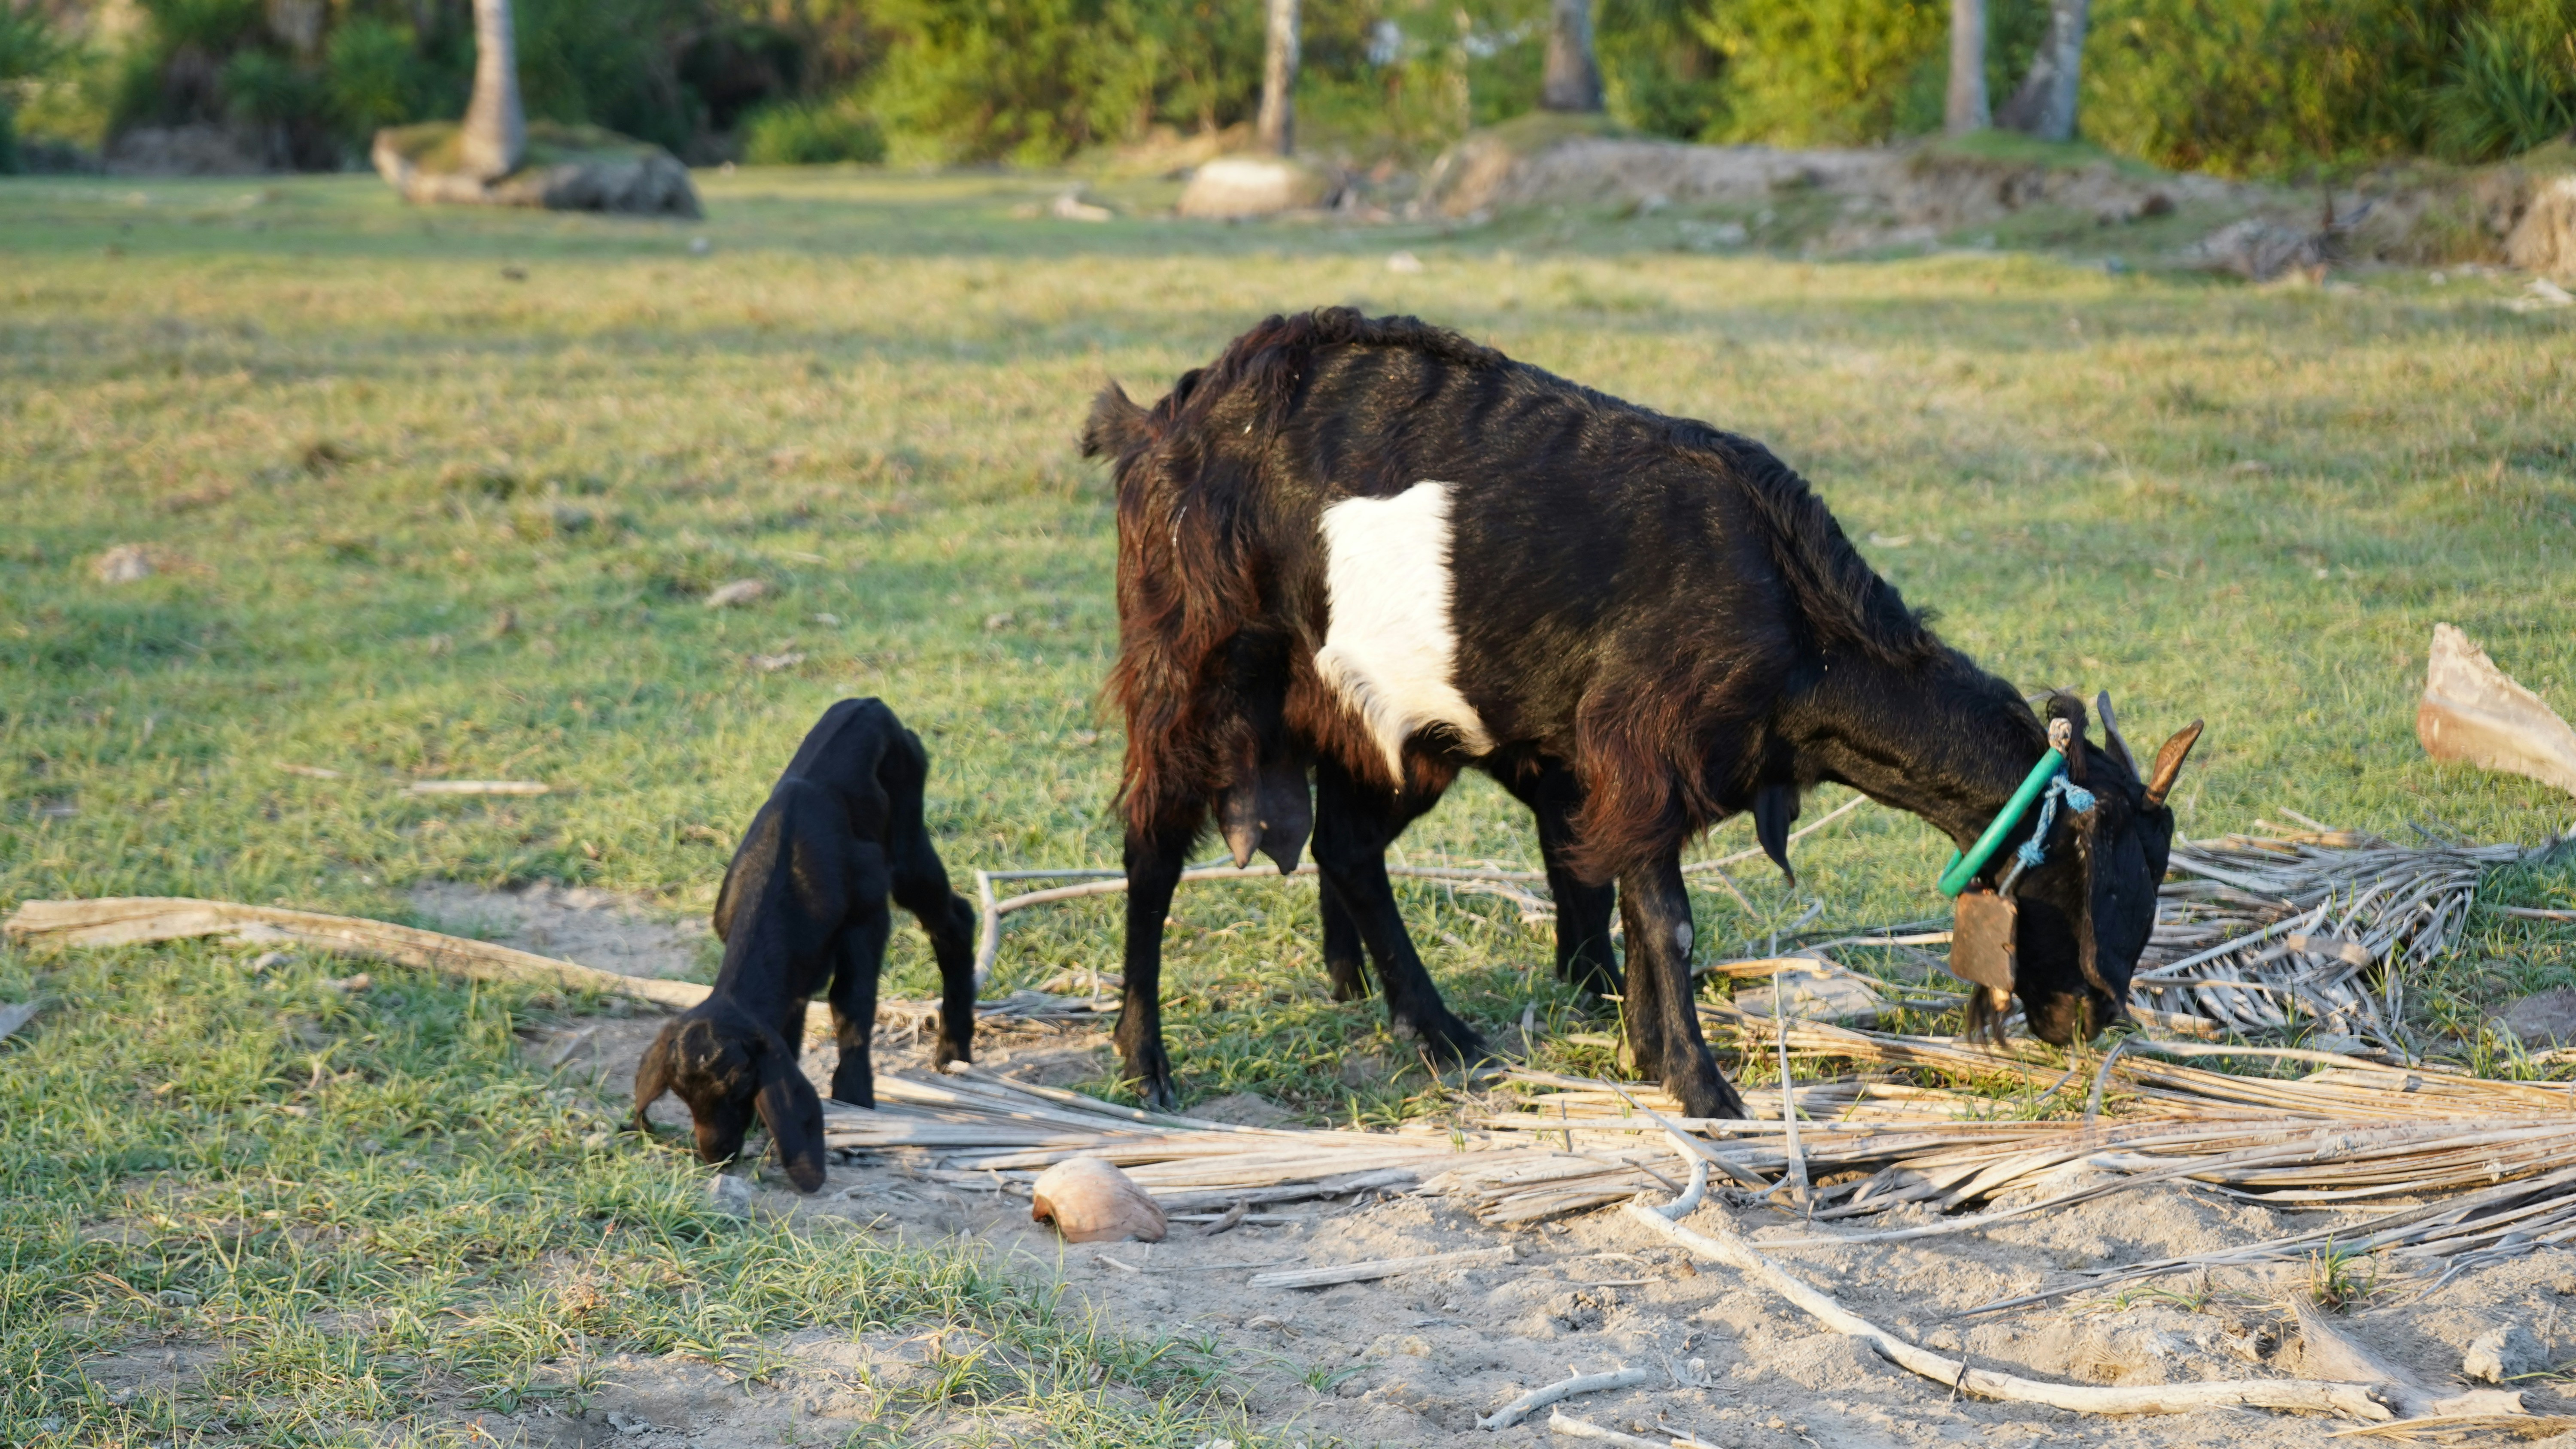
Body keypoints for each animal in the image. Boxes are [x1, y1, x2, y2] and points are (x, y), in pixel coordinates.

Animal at [632, 698, 978, 1191]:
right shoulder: (786, 975)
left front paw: (854, 1103)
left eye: (739, 1089)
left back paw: (954, 1051)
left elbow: (850, 1005)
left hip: (908, 841)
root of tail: (869, 704)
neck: (781, 881)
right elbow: (790, 1026)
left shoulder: (867, 921)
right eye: (681, 1094)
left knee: (955, 920)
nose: (717, 1155)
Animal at [1083, 308, 2201, 1118]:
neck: (1791, 611)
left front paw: (1645, 1046)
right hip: (1187, 668)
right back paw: (1146, 1062)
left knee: (1348, 849)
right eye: (2101, 877)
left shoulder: (1628, 775)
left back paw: (1435, 1030)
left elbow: (1624, 899)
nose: (2091, 1016)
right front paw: (1703, 1085)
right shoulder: (1641, 748)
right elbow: (1667, 915)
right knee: (1153, 843)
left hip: (1379, 718)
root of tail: (1162, 423)